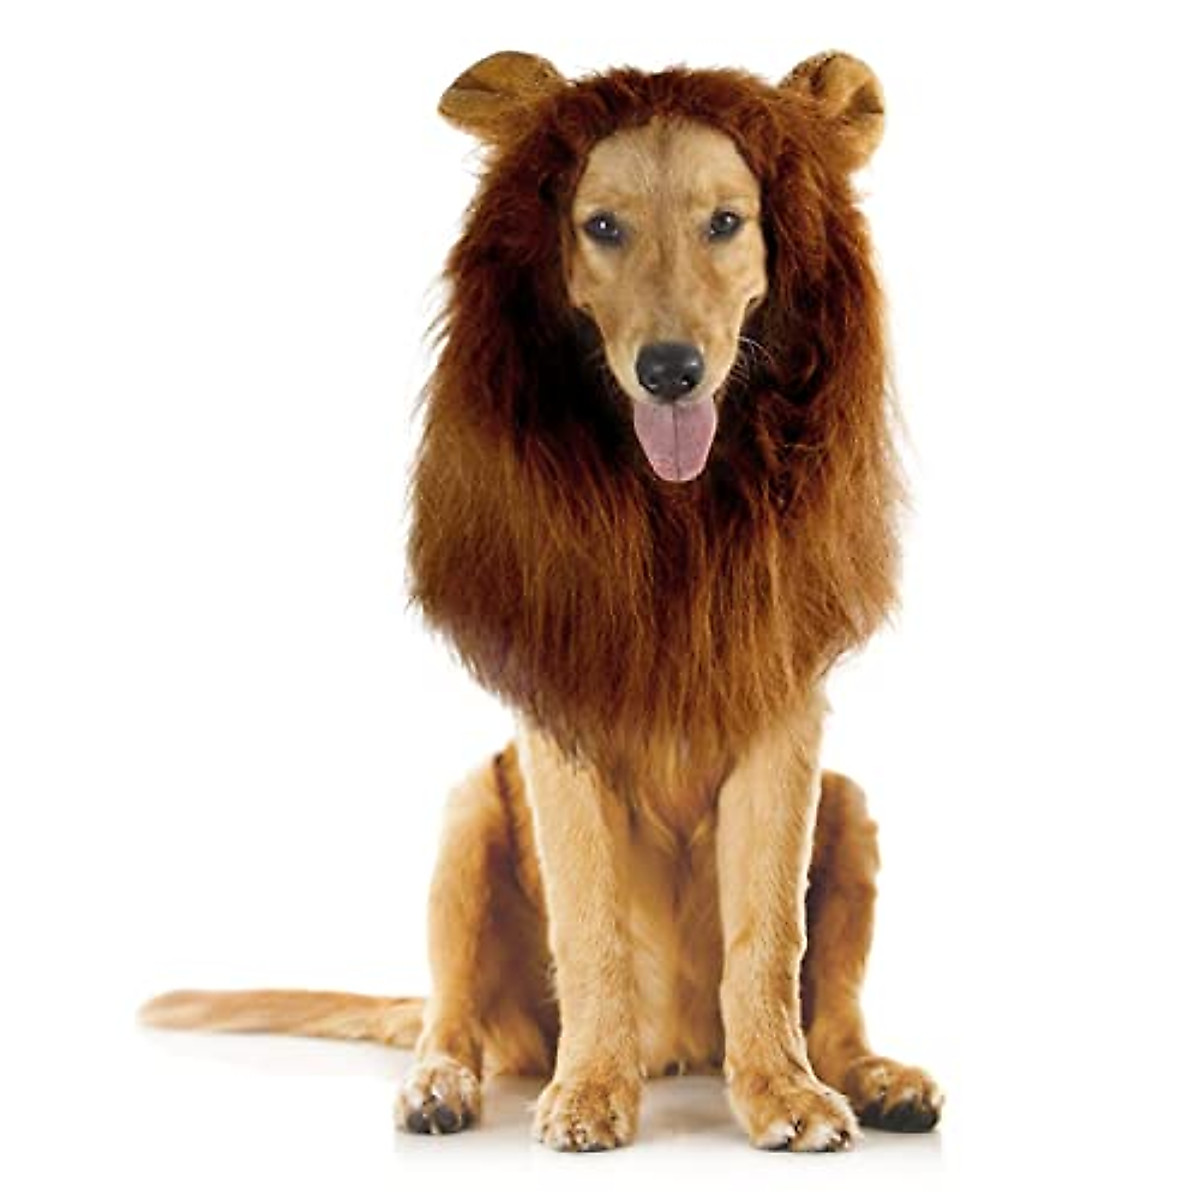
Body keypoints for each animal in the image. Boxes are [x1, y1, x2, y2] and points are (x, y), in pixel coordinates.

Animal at [141, 50, 943, 1153]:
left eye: (726, 222)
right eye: (600, 225)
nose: (669, 370)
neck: (675, 513)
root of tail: (680, 1049)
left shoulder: (786, 723)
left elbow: (770, 935)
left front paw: (784, 1094)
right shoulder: (556, 728)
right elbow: (590, 922)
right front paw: (591, 1093)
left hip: (851, 805)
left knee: (839, 1014)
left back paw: (875, 1077)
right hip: (468, 813)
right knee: (450, 1015)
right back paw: (445, 1086)